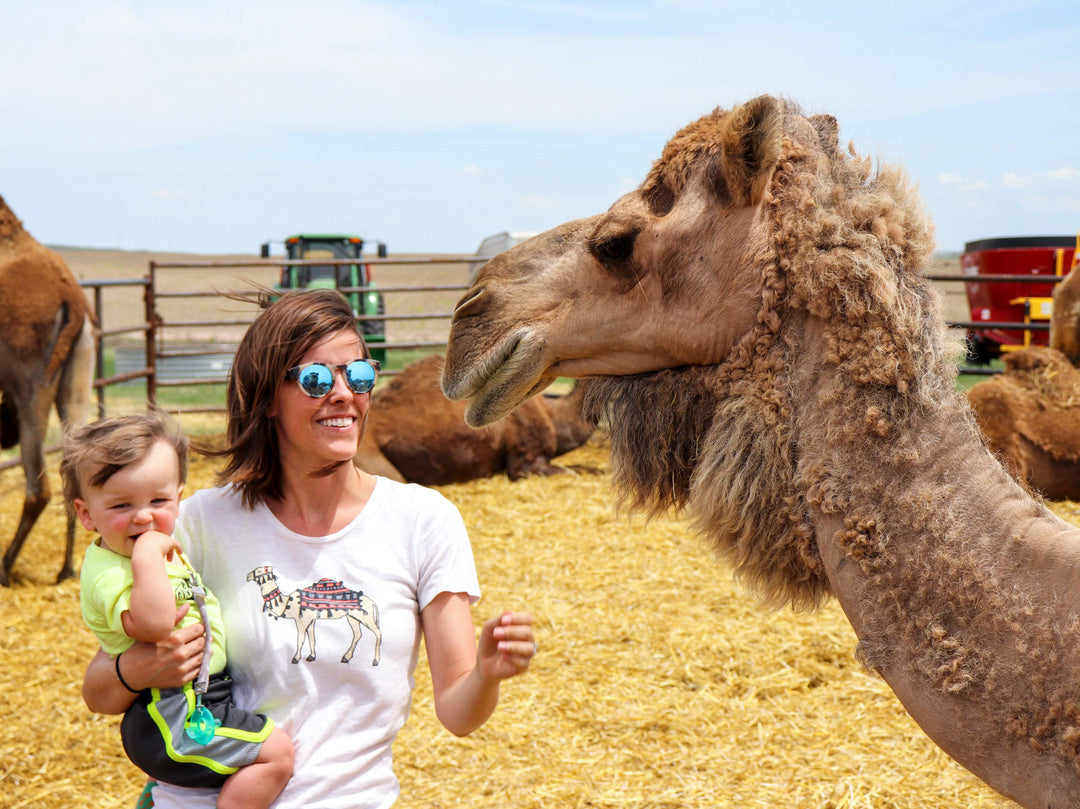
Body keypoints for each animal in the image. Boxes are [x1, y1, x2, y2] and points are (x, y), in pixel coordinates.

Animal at [245, 566, 381, 666]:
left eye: (258, 571)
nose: (247, 576)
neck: (288, 603)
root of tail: (373, 603)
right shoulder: (310, 620)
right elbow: (312, 638)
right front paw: (311, 657)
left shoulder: (301, 620)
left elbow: (300, 640)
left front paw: (296, 658)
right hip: (353, 617)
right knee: (358, 634)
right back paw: (345, 657)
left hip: (366, 616)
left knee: (377, 632)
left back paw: (375, 661)